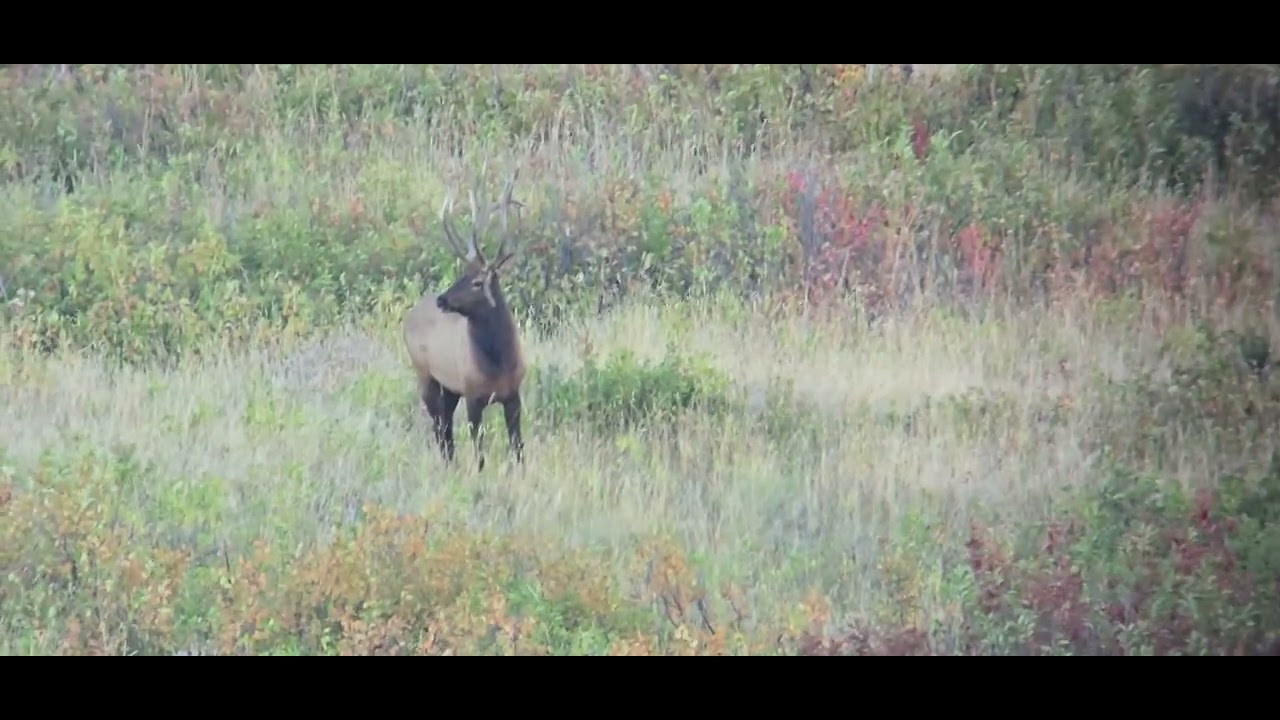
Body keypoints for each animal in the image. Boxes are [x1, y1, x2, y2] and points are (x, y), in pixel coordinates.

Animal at [403, 169, 526, 472]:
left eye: (477, 282)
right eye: (462, 273)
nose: (442, 300)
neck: (498, 363)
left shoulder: (513, 394)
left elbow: (518, 449)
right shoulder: (473, 395)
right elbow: (479, 453)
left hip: (450, 388)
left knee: (445, 424)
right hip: (425, 375)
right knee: (439, 426)